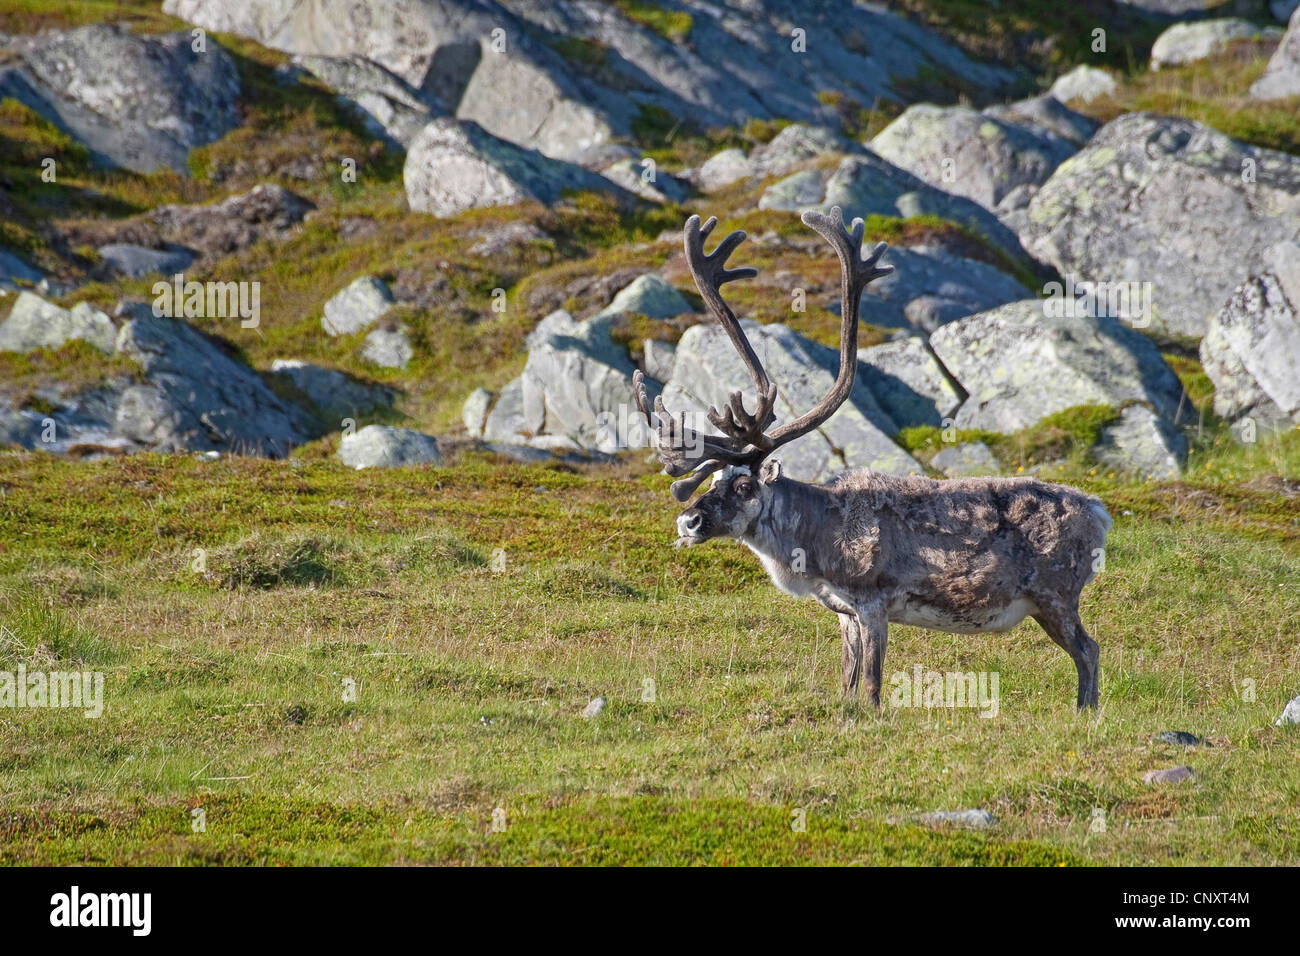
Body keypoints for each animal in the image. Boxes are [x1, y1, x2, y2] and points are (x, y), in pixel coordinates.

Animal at [633, 206, 1112, 710]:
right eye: (712, 480)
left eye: (745, 485)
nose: (688, 521)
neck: (813, 541)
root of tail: (1099, 511)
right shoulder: (844, 612)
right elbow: (846, 679)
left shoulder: (874, 603)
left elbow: (872, 683)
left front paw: (875, 714)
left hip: (1055, 594)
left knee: (1089, 650)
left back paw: (1085, 712)